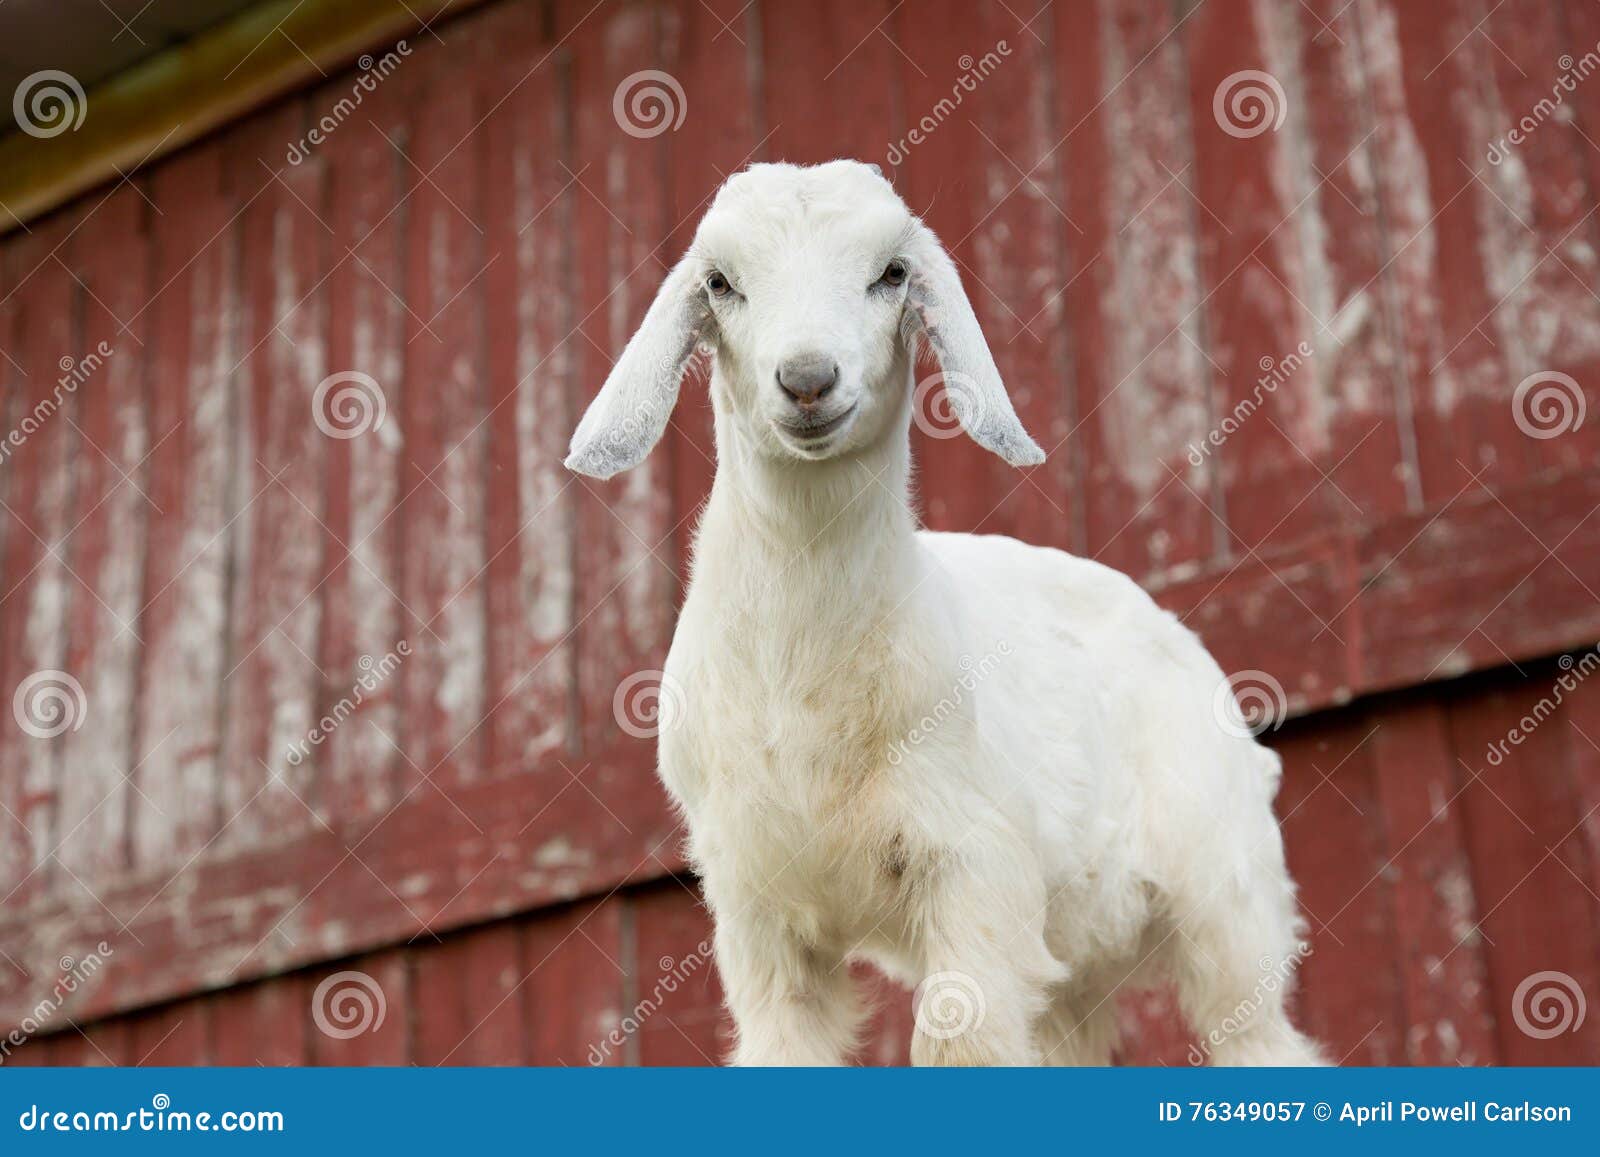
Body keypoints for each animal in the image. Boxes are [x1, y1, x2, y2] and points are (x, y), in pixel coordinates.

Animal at [565, 160, 1324, 1066]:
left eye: (892, 273)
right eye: (719, 282)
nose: (808, 379)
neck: (803, 687)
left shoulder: (975, 875)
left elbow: (960, 1044)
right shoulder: (757, 913)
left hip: (1227, 894)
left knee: (1260, 1032)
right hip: (1071, 958)